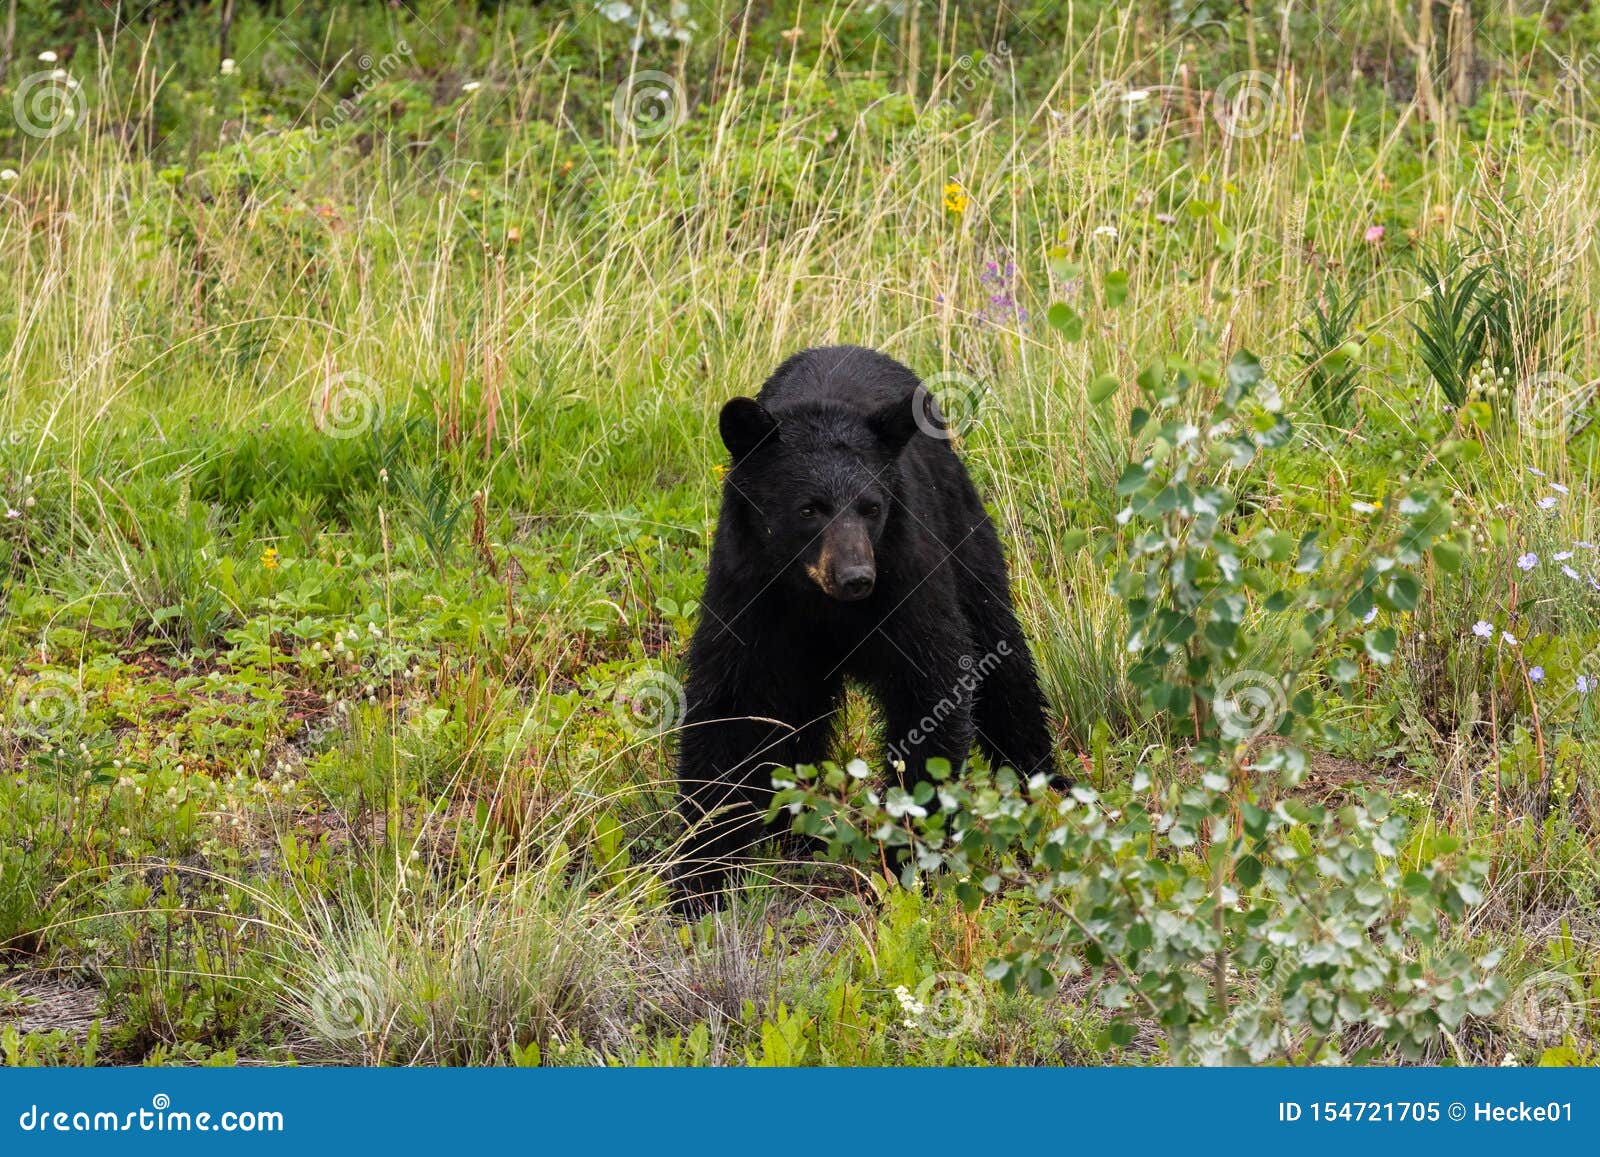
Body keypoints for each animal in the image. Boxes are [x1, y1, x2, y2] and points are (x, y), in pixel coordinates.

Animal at [673, 345, 1058, 903]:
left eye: (871, 507)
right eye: (809, 509)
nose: (856, 577)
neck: (816, 598)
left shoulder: (906, 574)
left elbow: (934, 683)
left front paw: (911, 856)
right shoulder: (746, 586)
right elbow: (727, 702)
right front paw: (700, 877)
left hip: (962, 528)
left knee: (1001, 652)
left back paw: (1041, 783)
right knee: (800, 716)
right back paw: (794, 828)